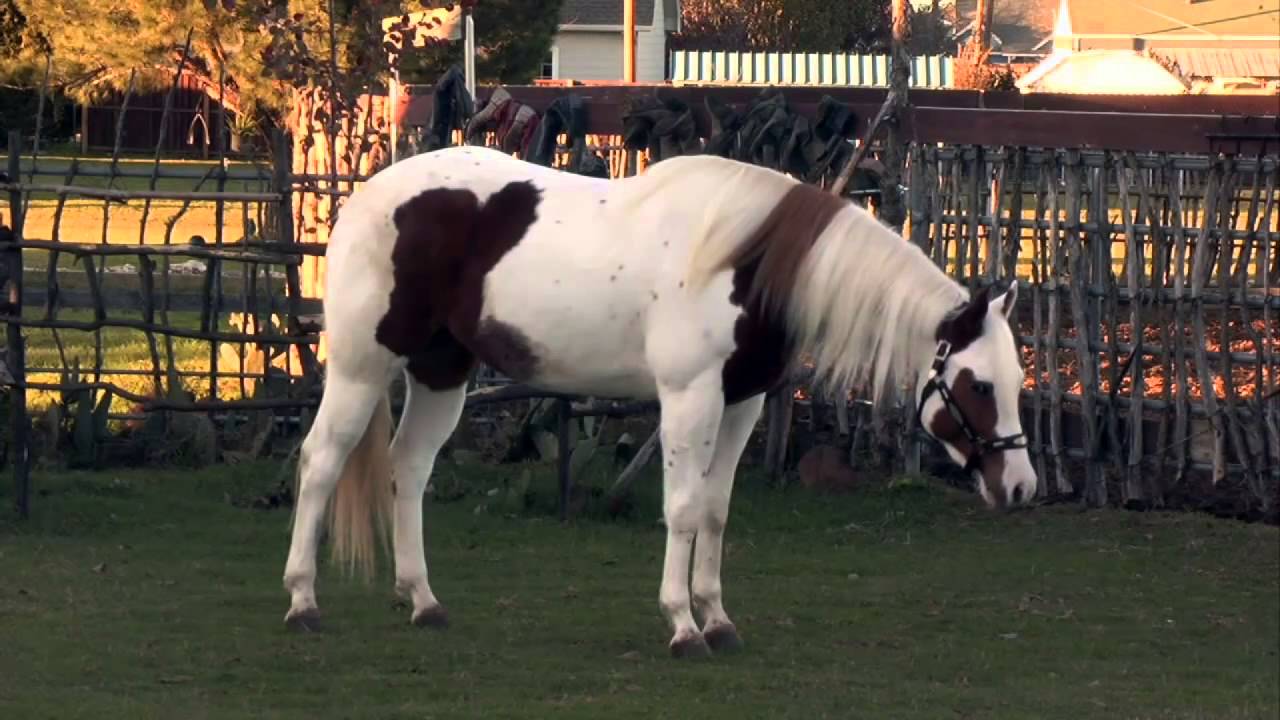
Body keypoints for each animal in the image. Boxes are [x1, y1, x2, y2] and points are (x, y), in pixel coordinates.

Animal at [280, 145, 1036, 657]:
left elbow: (716, 510)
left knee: (408, 469)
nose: (1024, 488)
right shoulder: (688, 397)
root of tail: (364, 197)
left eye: (1014, 382)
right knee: (320, 462)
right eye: (978, 385)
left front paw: (718, 619)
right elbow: (682, 508)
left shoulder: (742, 403)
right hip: (362, 366)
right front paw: (682, 625)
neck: (748, 263)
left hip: (442, 372)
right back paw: (303, 602)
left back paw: (423, 601)